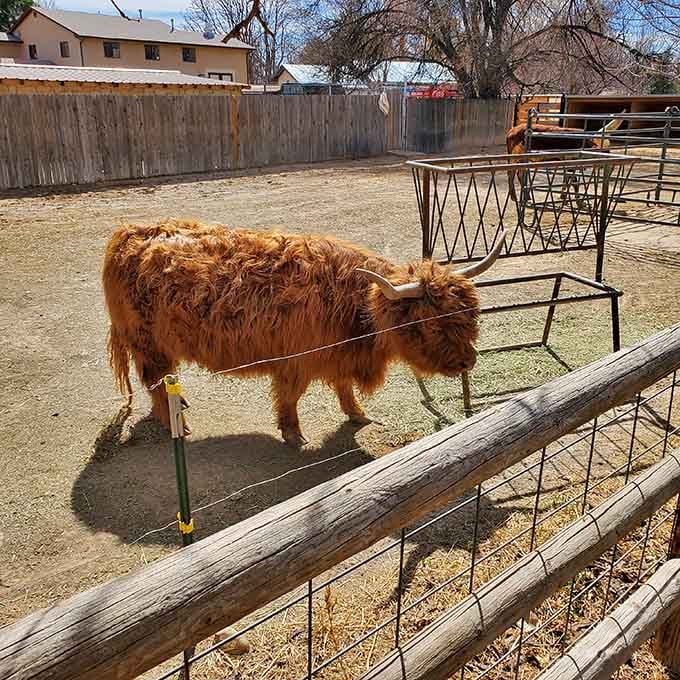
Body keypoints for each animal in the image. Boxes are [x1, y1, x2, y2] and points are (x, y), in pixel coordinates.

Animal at [103, 220, 505, 447]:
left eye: (472, 315)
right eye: (435, 323)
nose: (468, 361)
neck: (355, 306)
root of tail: (126, 234)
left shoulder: (340, 355)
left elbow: (344, 387)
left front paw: (358, 414)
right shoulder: (294, 362)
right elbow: (290, 398)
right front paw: (293, 433)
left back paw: (180, 404)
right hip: (147, 342)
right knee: (155, 380)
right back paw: (178, 423)